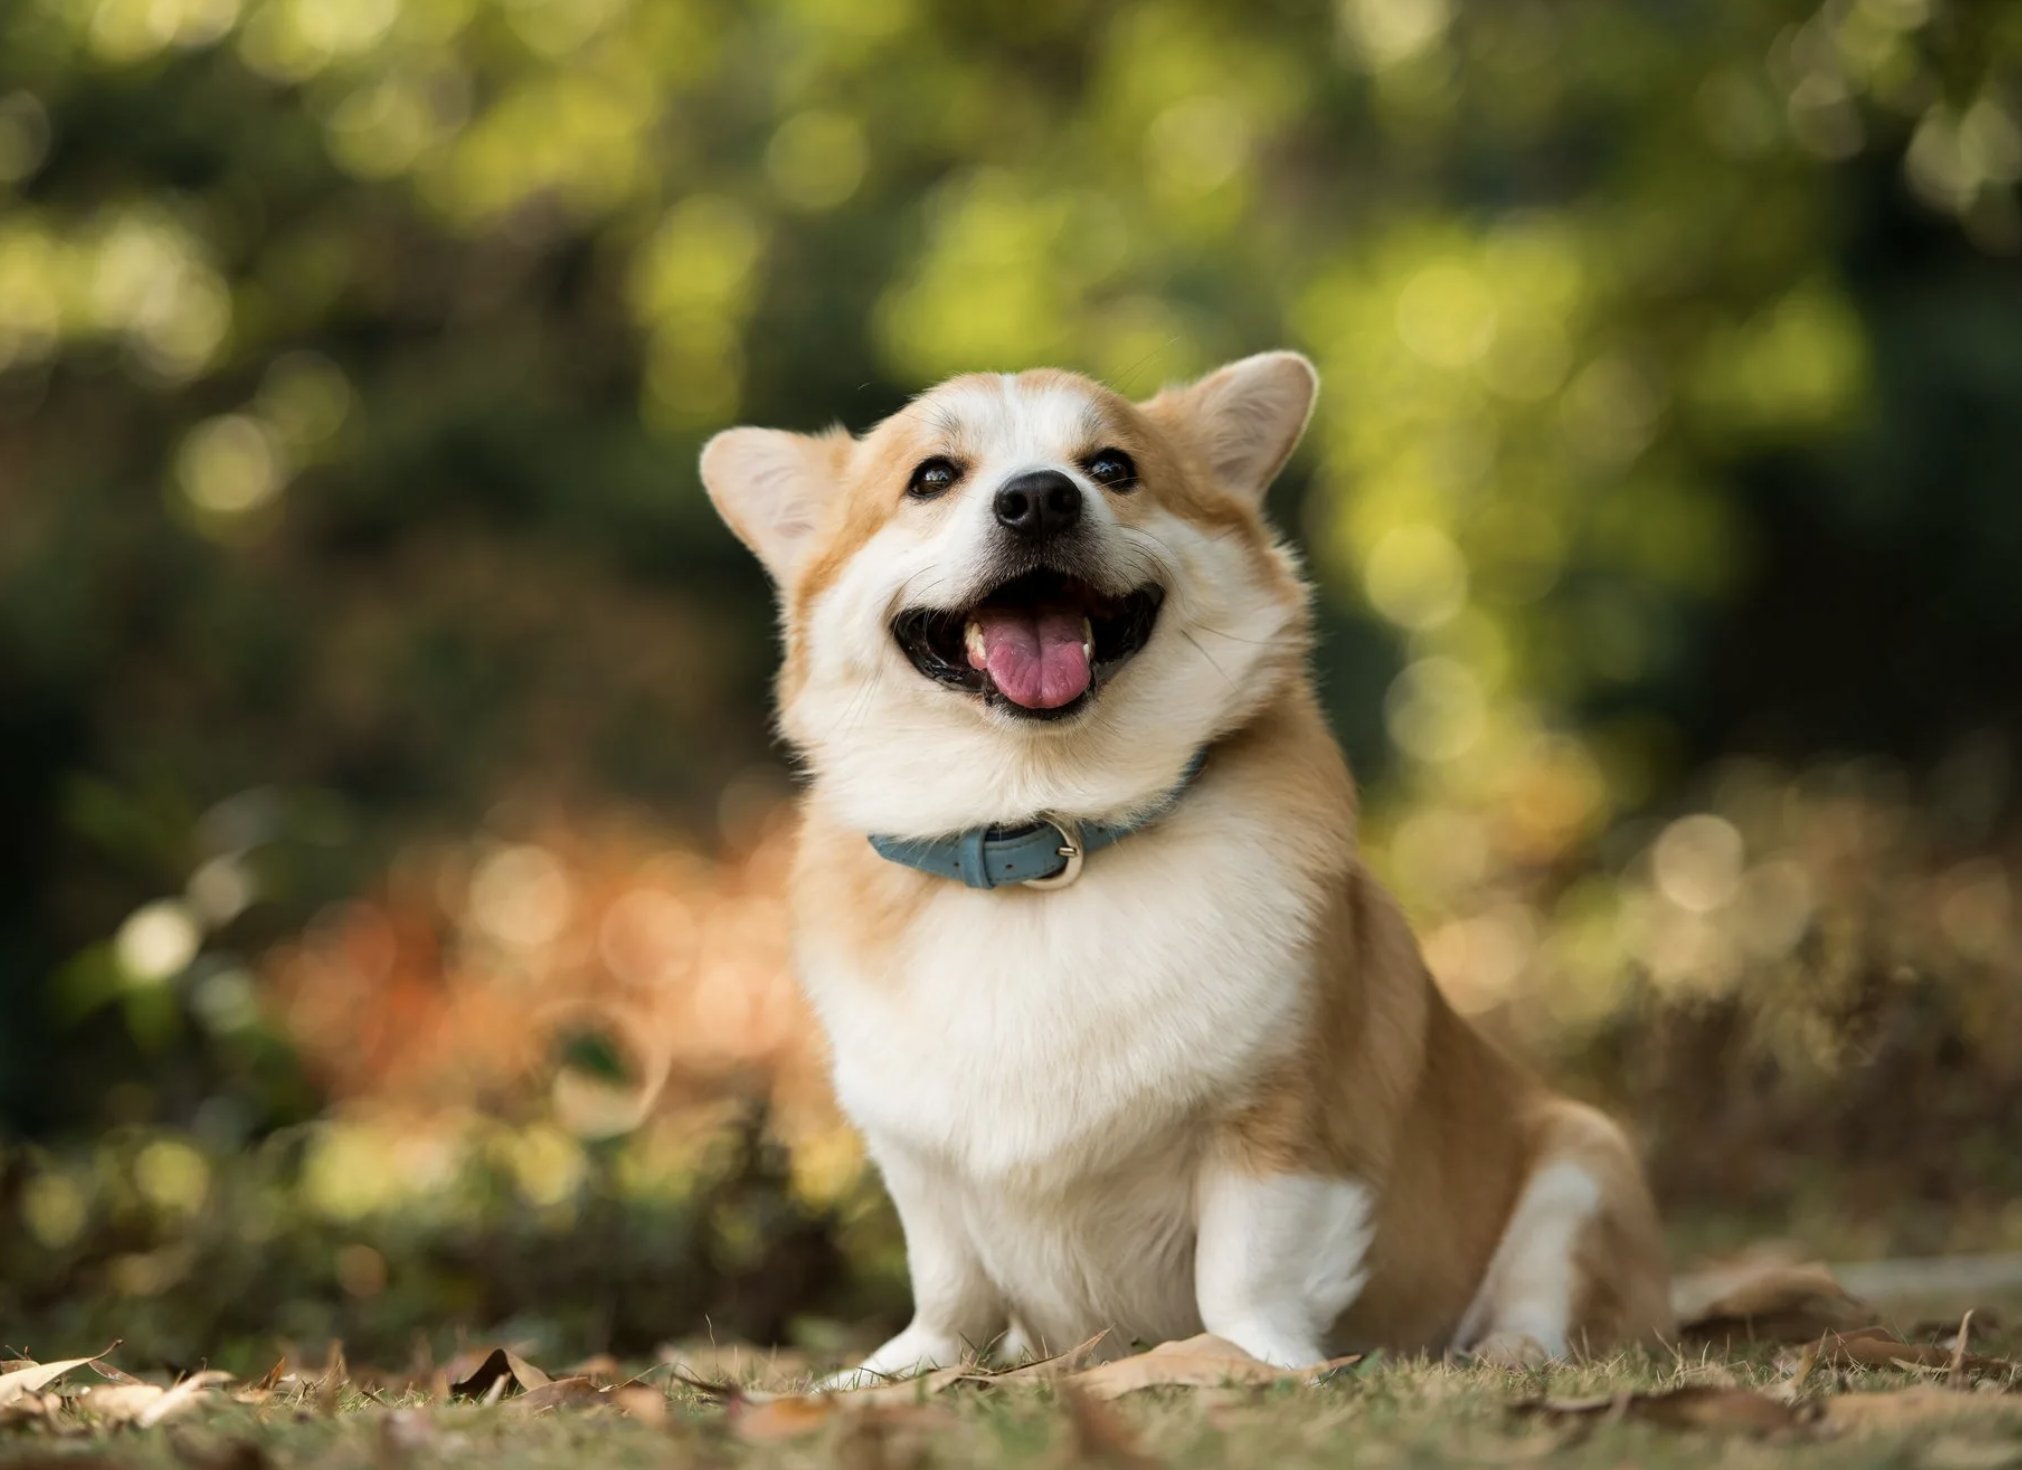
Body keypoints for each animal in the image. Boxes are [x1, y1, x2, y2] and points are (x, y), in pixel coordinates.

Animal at [699, 353, 1674, 1383]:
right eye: (932, 477)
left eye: (1112, 467)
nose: (1040, 498)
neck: (1049, 829)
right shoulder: (920, 1164)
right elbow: (947, 1290)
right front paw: (890, 1374)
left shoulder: (1279, 1126)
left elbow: (1243, 1278)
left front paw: (1239, 1361)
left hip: (1581, 1164)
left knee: (1546, 1296)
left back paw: (1508, 1354)